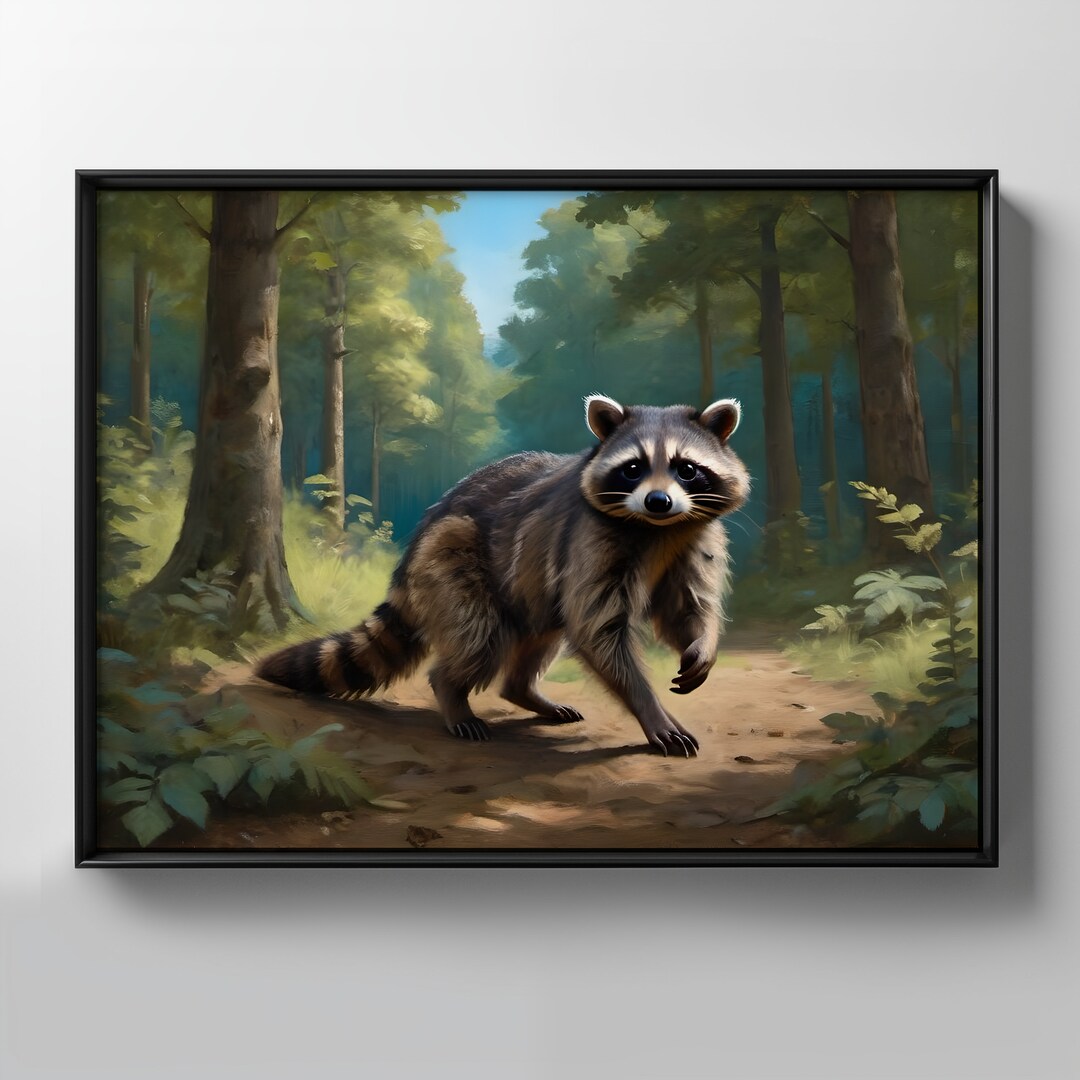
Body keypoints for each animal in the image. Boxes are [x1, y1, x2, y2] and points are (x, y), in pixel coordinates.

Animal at [257, 394, 750, 756]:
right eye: (633, 468)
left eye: (687, 468)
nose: (658, 501)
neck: (657, 529)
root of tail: (417, 544)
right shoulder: (589, 540)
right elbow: (598, 632)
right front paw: (650, 711)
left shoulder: (693, 541)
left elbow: (686, 606)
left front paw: (702, 644)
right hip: (453, 562)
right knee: (480, 638)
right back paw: (452, 693)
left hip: (527, 589)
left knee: (541, 635)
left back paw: (523, 690)